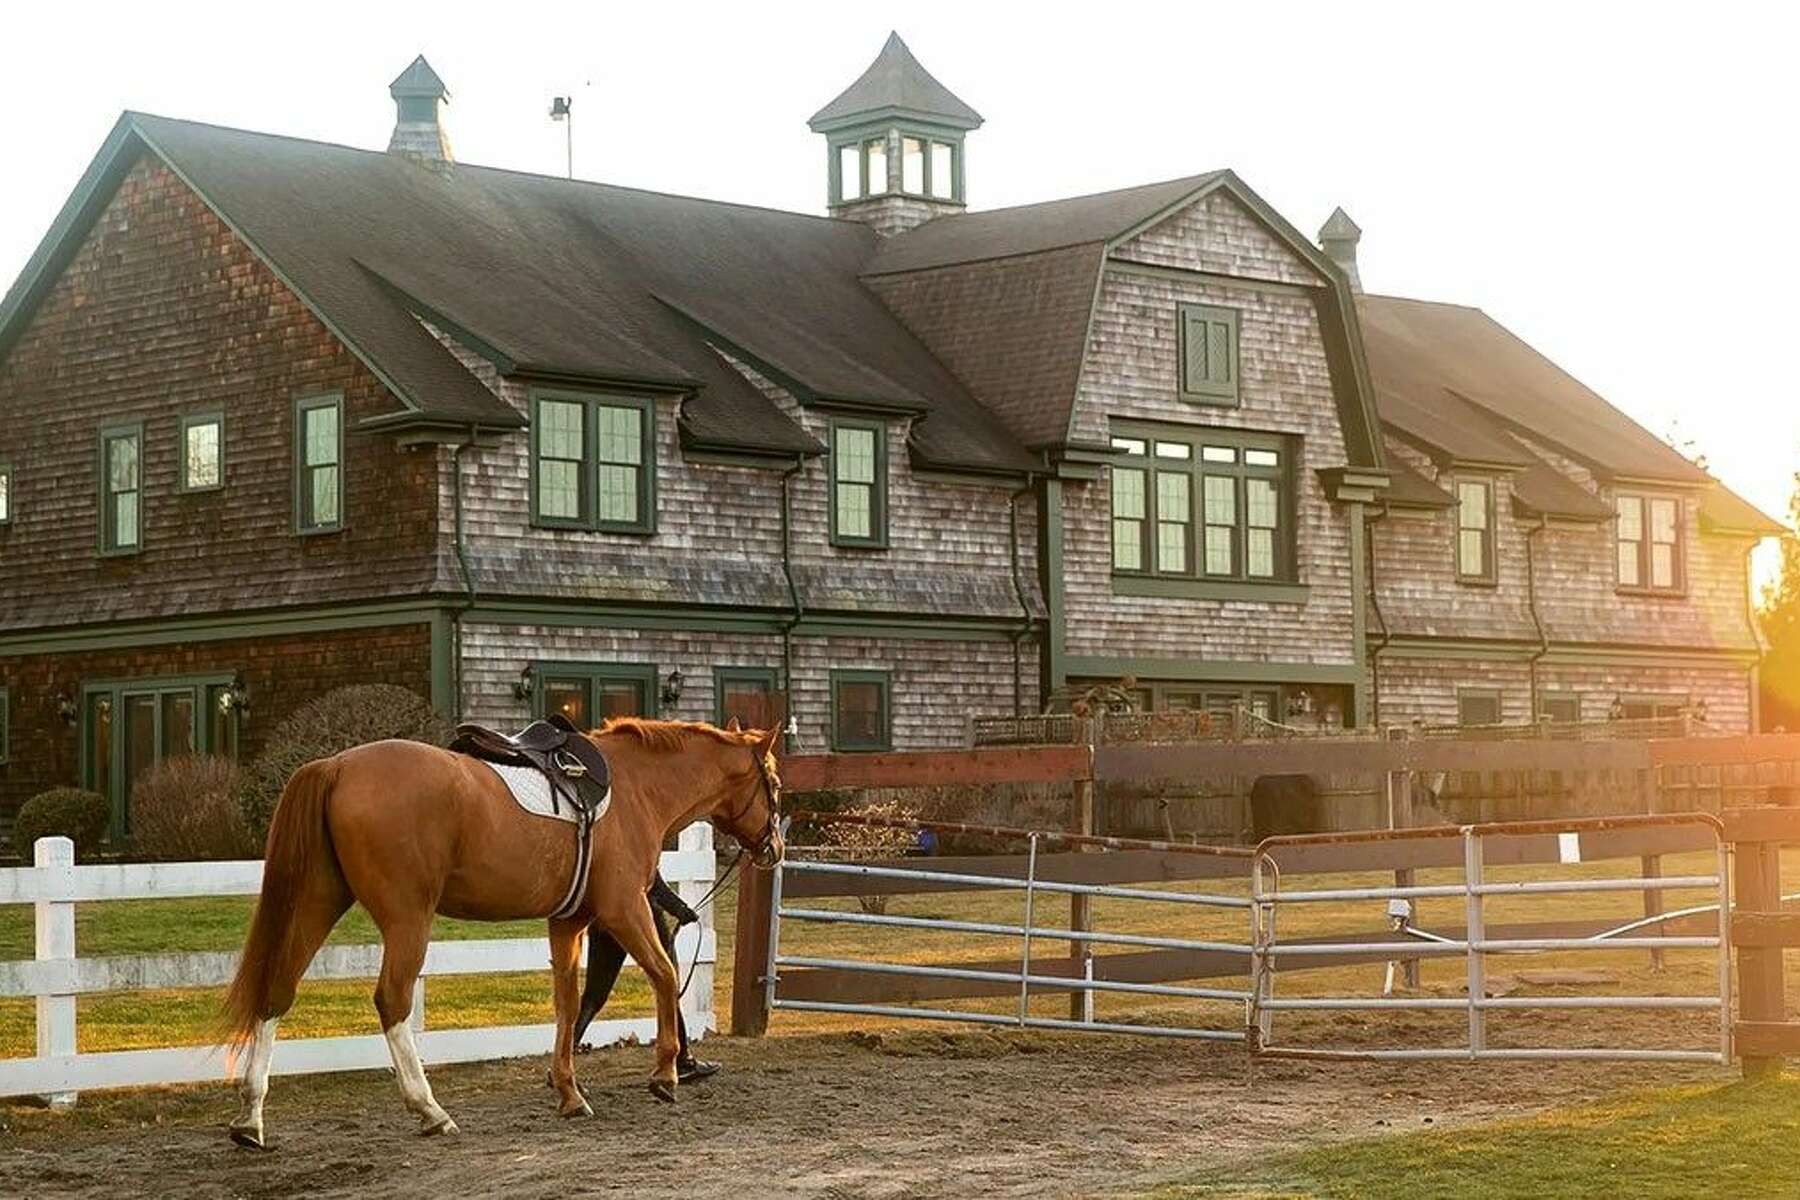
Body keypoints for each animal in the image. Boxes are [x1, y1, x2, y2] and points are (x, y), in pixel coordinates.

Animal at [218, 718, 783, 1148]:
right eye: (774, 785)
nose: (775, 847)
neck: (634, 787)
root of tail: (336, 766)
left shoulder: (568, 922)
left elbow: (566, 1004)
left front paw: (569, 1093)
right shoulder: (623, 910)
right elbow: (663, 974)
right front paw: (665, 1074)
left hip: (319, 900)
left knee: (278, 990)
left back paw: (251, 1118)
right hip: (407, 918)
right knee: (393, 1000)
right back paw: (429, 1109)